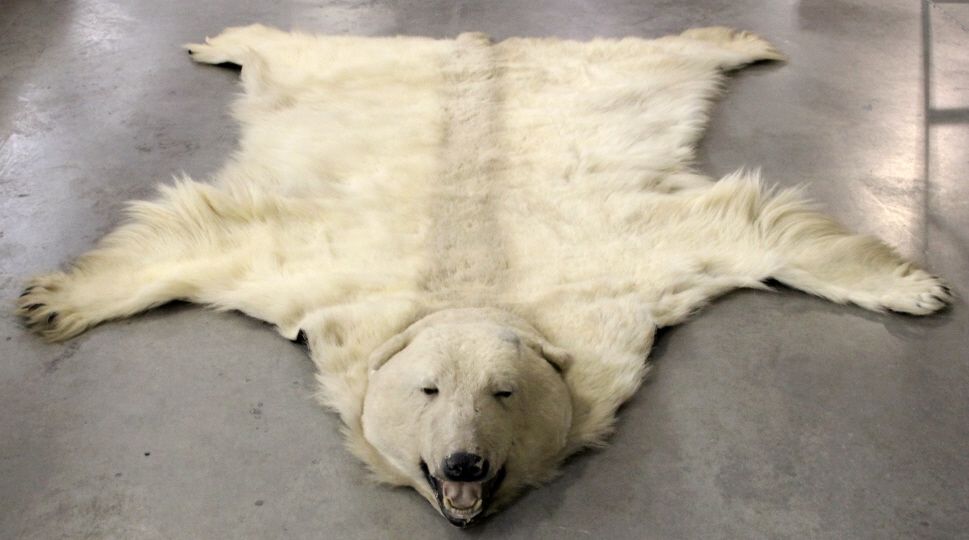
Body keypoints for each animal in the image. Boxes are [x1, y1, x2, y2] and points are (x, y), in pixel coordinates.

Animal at [16, 25, 951, 526]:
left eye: (503, 391)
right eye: (427, 389)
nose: (463, 463)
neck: (470, 292)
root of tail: (478, 41)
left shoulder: (626, 267)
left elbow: (756, 230)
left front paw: (916, 287)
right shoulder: (317, 266)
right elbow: (196, 237)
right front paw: (48, 298)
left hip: (605, 76)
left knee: (665, 55)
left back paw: (738, 38)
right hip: (351, 69)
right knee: (297, 49)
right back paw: (226, 39)